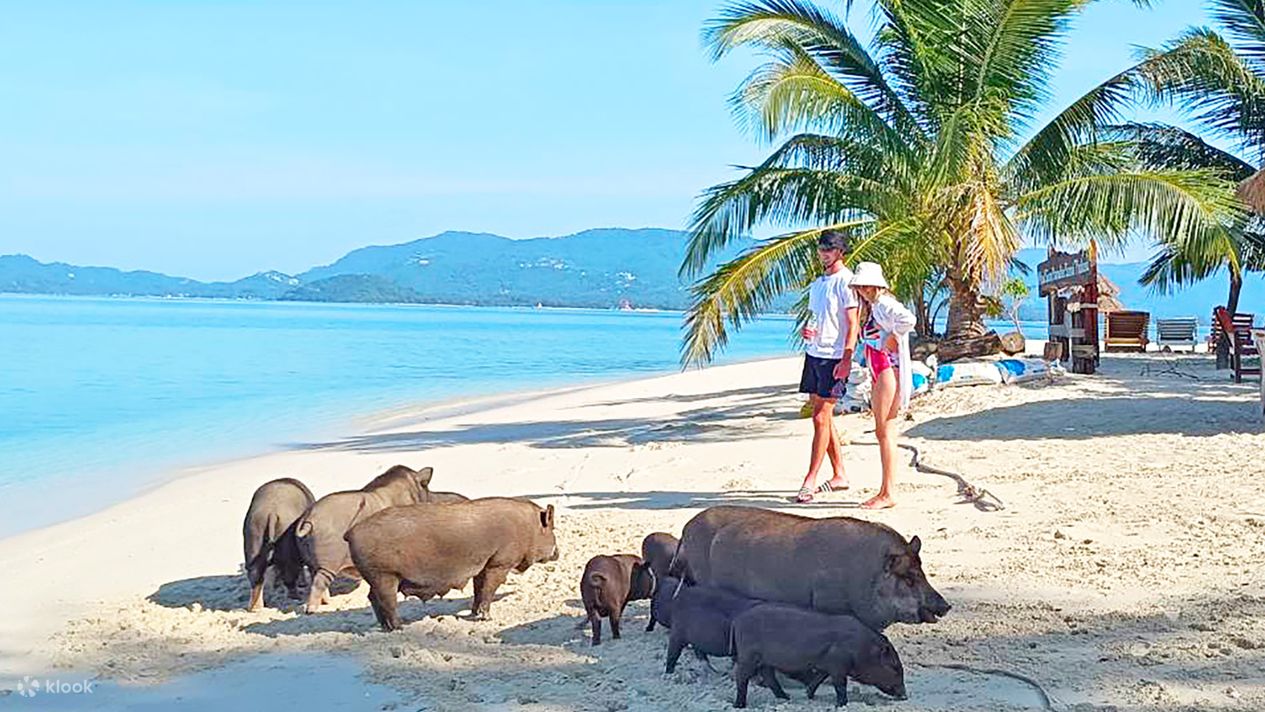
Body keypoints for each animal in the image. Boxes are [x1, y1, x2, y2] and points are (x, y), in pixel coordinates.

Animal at [242, 477, 315, 611]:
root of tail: (271, 513)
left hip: (254, 531)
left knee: (255, 574)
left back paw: (255, 608)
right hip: (285, 534)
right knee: (290, 573)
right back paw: (295, 597)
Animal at [294, 465, 466, 612]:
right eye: (426, 487)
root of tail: (310, 518)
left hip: (314, 562)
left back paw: (326, 602)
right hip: (329, 563)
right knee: (318, 583)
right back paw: (312, 610)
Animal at [346, 497, 559, 631]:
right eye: (552, 529)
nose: (558, 553)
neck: (528, 528)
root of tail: (350, 533)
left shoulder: (482, 565)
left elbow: (479, 589)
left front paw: (474, 613)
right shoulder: (499, 563)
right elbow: (489, 590)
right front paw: (486, 618)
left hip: (376, 577)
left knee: (372, 597)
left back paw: (386, 627)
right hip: (383, 575)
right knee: (386, 601)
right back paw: (399, 627)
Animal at [679, 505, 950, 630]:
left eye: (923, 572)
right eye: (909, 578)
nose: (946, 606)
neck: (864, 573)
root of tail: (687, 526)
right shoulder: (826, 603)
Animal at [731, 603, 907, 708]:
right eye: (895, 668)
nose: (905, 696)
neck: (862, 648)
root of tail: (738, 620)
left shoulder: (826, 664)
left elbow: (819, 678)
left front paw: (809, 695)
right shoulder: (838, 664)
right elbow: (840, 685)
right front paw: (842, 705)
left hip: (765, 660)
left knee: (769, 675)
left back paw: (786, 697)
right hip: (748, 656)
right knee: (741, 676)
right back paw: (739, 705)